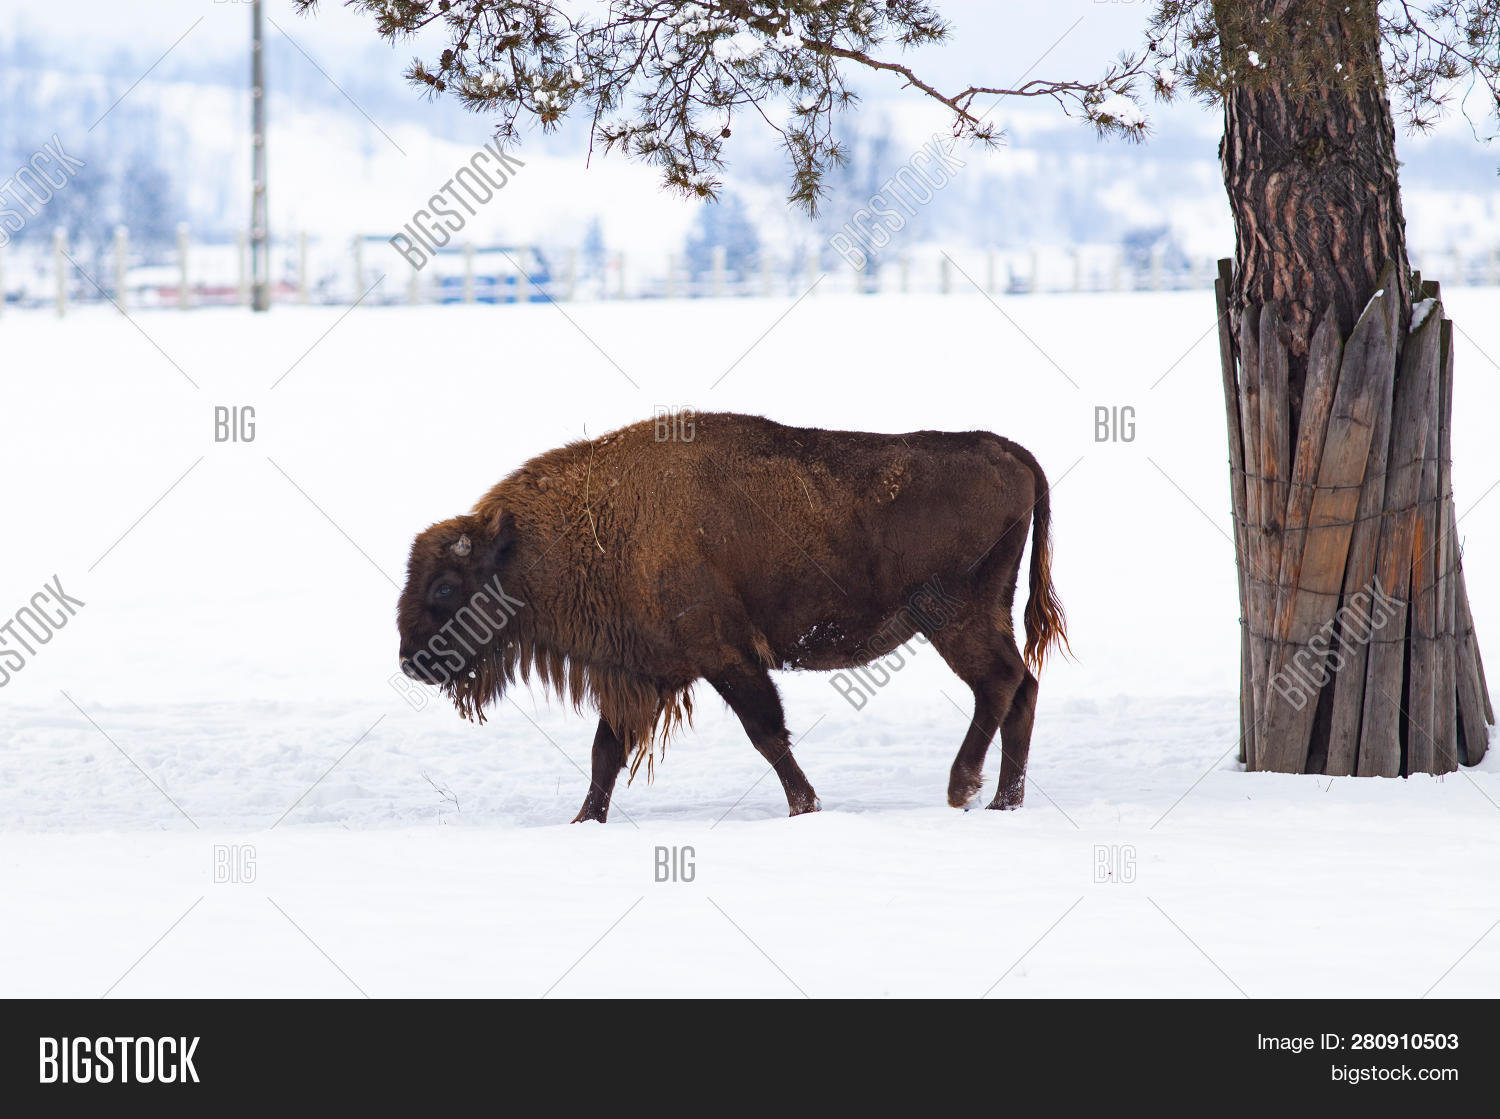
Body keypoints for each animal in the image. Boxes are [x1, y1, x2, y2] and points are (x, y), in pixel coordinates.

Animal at [397, 412, 1067, 822]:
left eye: (445, 586)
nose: (409, 663)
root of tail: (1006, 450)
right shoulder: (645, 675)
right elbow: (605, 752)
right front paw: (584, 820)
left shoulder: (725, 658)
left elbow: (765, 732)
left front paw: (805, 807)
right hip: (981, 617)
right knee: (1023, 688)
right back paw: (1004, 803)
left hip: (955, 618)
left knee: (1000, 684)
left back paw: (962, 790)